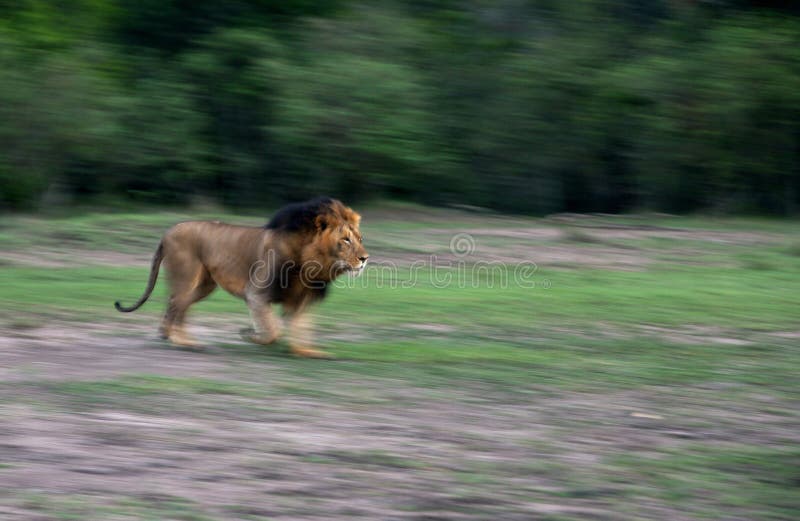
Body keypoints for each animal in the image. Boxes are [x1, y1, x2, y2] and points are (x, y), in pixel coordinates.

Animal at [114, 197, 368, 358]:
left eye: (359, 238)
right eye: (345, 240)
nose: (365, 258)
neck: (311, 263)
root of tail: (168, 232)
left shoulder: (301, 298)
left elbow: (302, 327)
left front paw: (305, 352)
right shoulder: (257, 293)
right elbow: (273, 330)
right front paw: (249, 335)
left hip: (204, 285)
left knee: (176, 305)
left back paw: (169, 336)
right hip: (187, 277)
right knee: (176, 304)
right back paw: (183, 342)